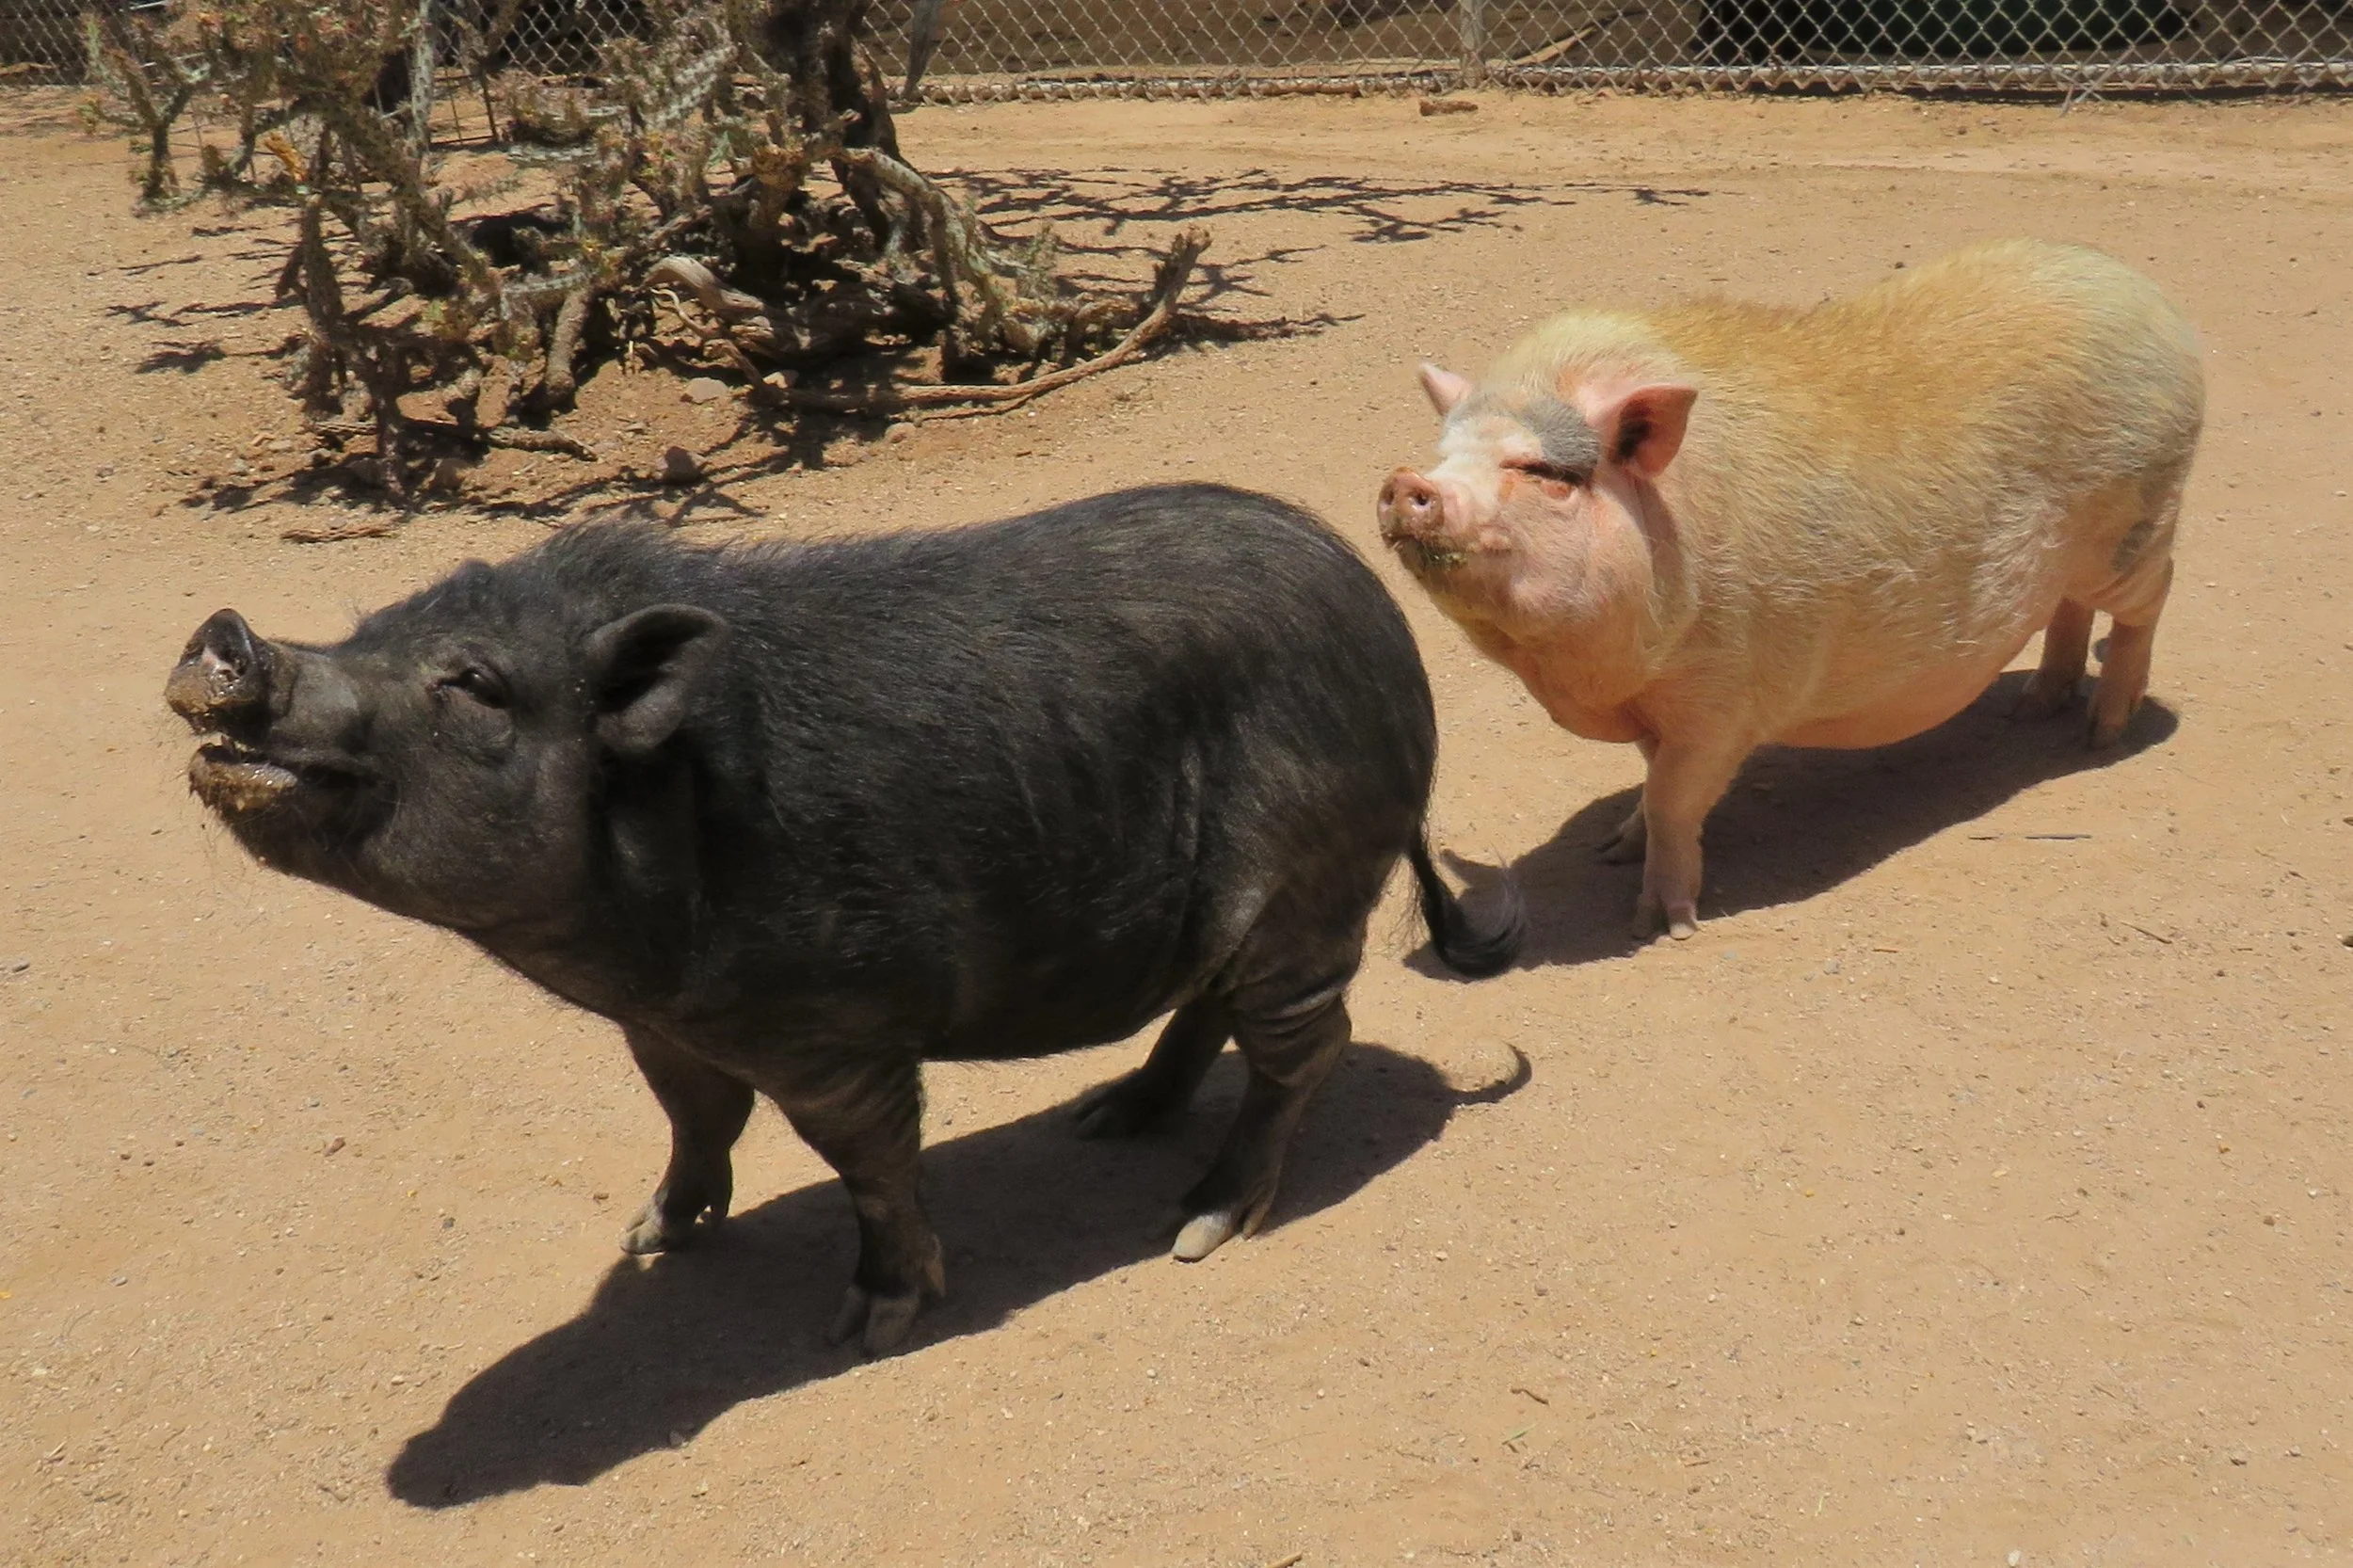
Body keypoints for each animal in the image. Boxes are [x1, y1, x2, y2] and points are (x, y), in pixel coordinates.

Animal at [165, 485, 1523, 1352]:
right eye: (366, 631)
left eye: (474, 684)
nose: (229, 633)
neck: (625, 951)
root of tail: (1375, 607)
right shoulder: (666, 1023)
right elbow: (692, 1114)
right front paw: (653, 1235)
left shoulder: (834, 1023)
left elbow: (867, 1158)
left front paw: (869, 1321)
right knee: (1209, 1002)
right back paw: (1103, 1117)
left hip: (1312, 880)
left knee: (1305, 1040)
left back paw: (1196, 1222)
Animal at [1378, 238, 2202, 939]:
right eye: (1444, 454)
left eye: (1544, 471)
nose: (1406, 482)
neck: (1606, 681)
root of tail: (2151, 301)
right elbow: (1647, 784)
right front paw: (1611, 849)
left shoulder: (1723, 700)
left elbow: (1674, 798)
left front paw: (1662, 926)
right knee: (2070, 607)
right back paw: (2033, 711)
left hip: (2143, 522)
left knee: (2148, 603)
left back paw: (2101, 734)